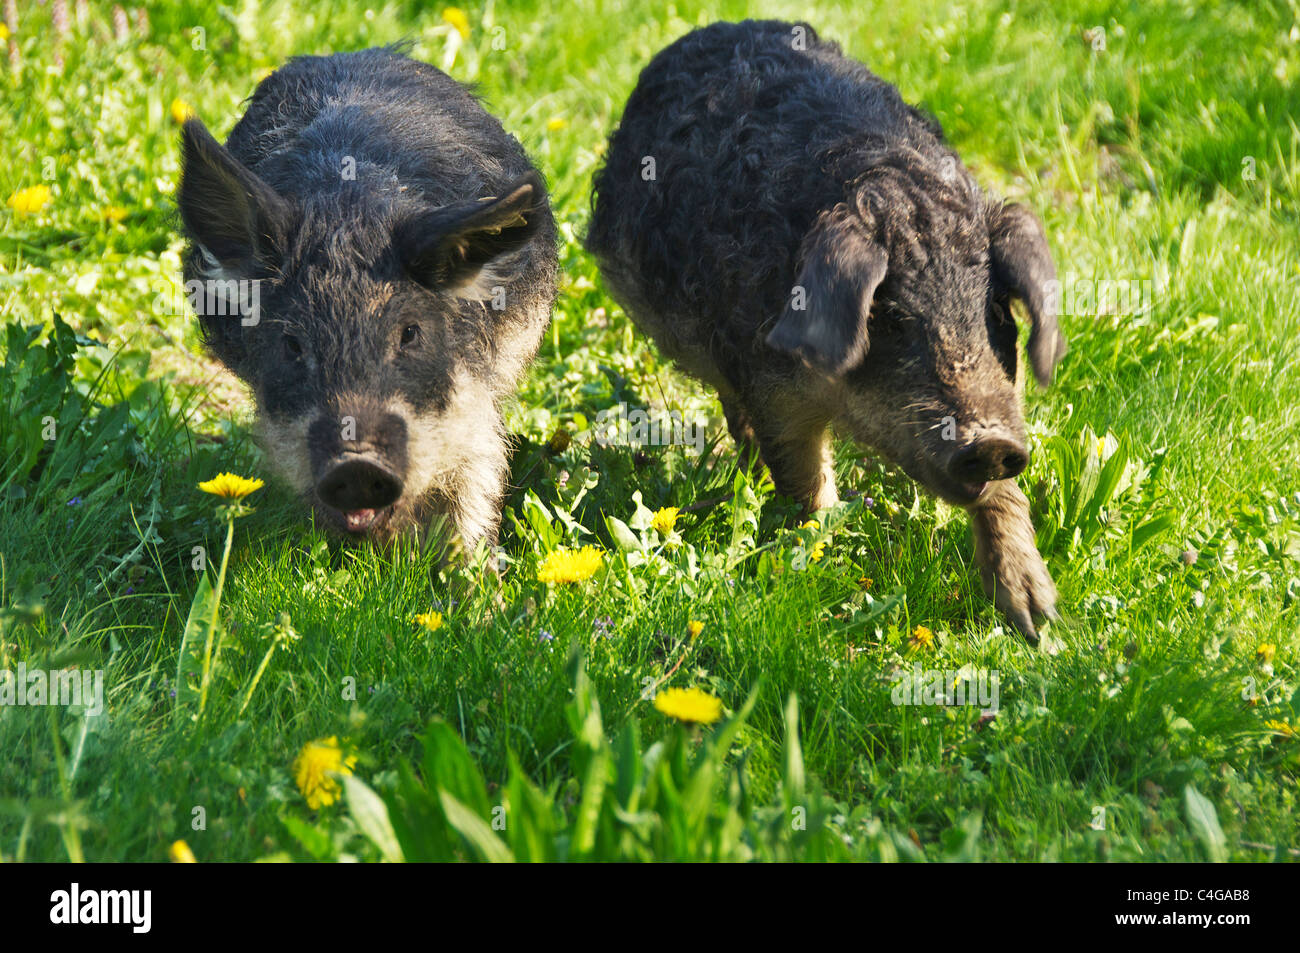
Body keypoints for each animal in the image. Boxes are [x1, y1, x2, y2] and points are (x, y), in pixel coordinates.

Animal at [177, 47, 557, 552]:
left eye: (410, 333)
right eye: (293, 344)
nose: (357, 466)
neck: (350, 219)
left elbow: (477, 470)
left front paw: (467, 570)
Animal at [586, 21, 1066, 639]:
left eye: (997, 314)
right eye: (893, 317)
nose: (991, 442)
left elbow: (1003, 492)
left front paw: (1039, 620)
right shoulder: (771, 383)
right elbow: (803, 479)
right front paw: (810, 564)